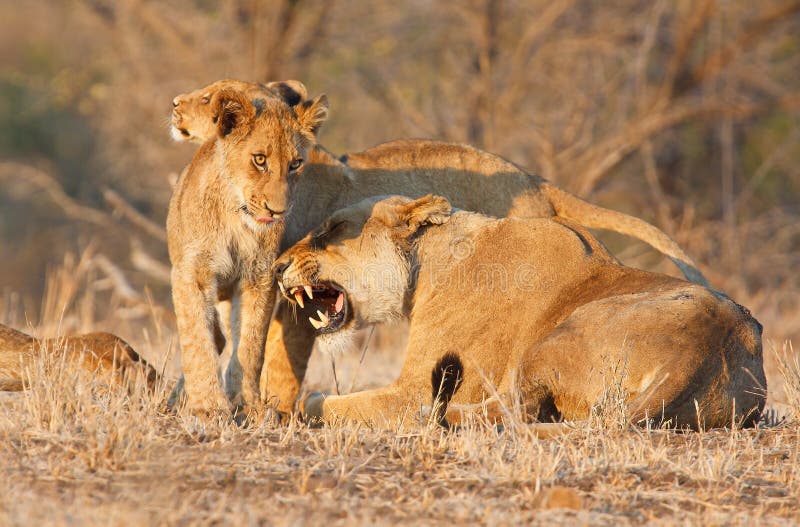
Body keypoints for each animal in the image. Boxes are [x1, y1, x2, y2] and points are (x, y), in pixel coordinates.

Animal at [169, 79, 708, 417]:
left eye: (211, 96)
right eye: (261, 160)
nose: (176, 105)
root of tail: (538, 181)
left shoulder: (280, 294)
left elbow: (274, 360)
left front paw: (262, 409)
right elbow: (205, 337)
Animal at [272, 195, 766, 430]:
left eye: (334, 228)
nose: (276, 267)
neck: (427, 262)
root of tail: (702, 352)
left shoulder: (412, 389)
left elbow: (317, 402)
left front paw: (305, 405)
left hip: (555, 338)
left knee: (511, 410)